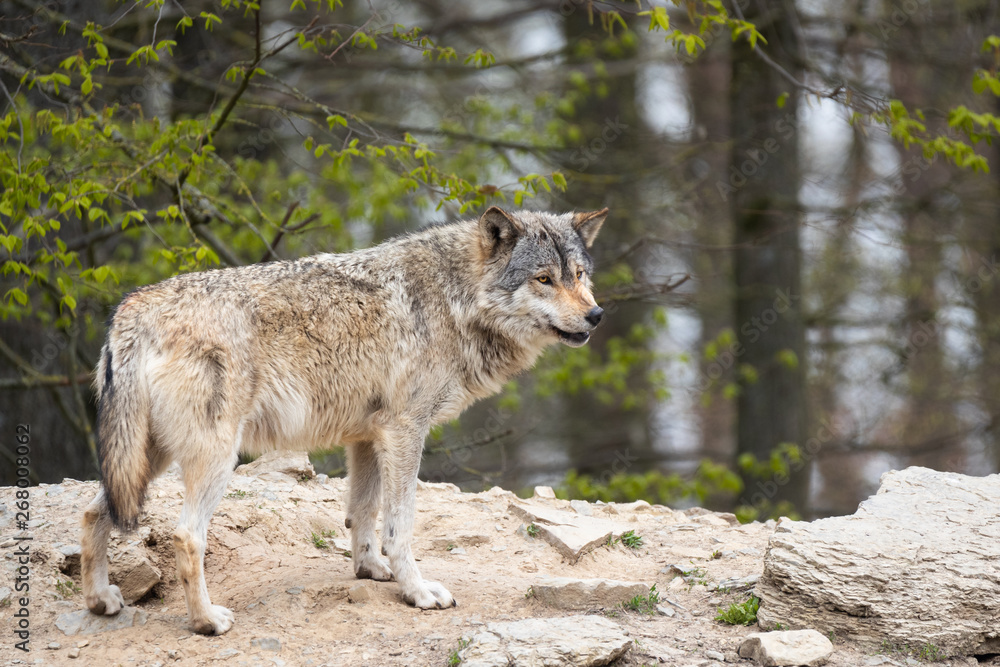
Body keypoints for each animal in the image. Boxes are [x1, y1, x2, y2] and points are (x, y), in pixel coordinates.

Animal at [80, 206, 607, 634]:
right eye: (543, 279)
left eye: (579, 274)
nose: (597, 315)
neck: (455, 300)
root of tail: (133, 308)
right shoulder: (405, 431)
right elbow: (400, 525)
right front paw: (417, 591)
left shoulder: (368, 437)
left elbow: (363, 513)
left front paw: (370, 569)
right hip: (213, 459)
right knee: (187, 537)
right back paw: (207, 621)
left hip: (146, 459)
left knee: (93, 510)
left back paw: (101, 601)